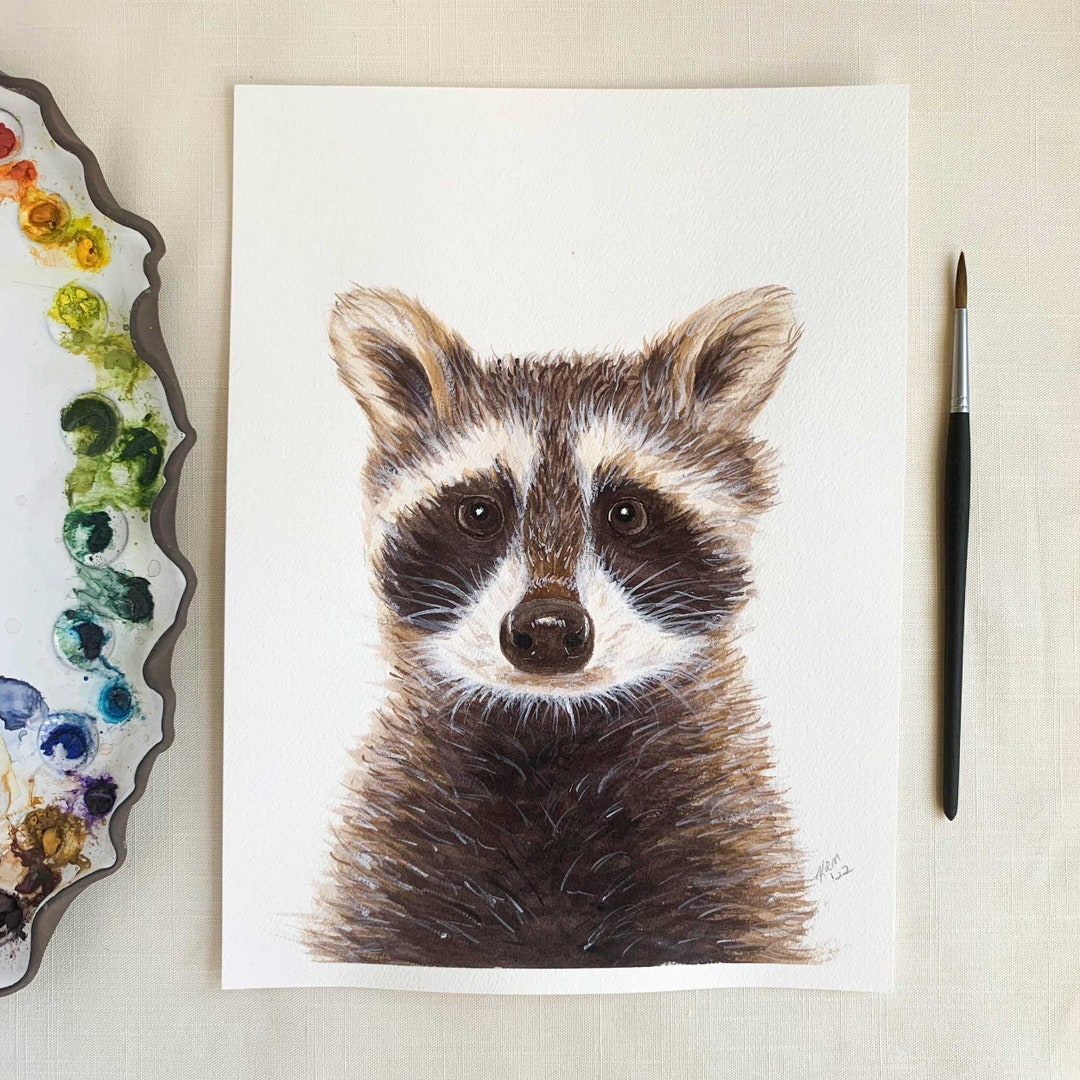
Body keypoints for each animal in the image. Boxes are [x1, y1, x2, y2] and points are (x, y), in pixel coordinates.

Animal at [307, 286, 815, 967]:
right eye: (479, 512)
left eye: (627, 513)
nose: (547, 628)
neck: (552, 732)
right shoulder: (392, 868)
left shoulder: (730, 862)